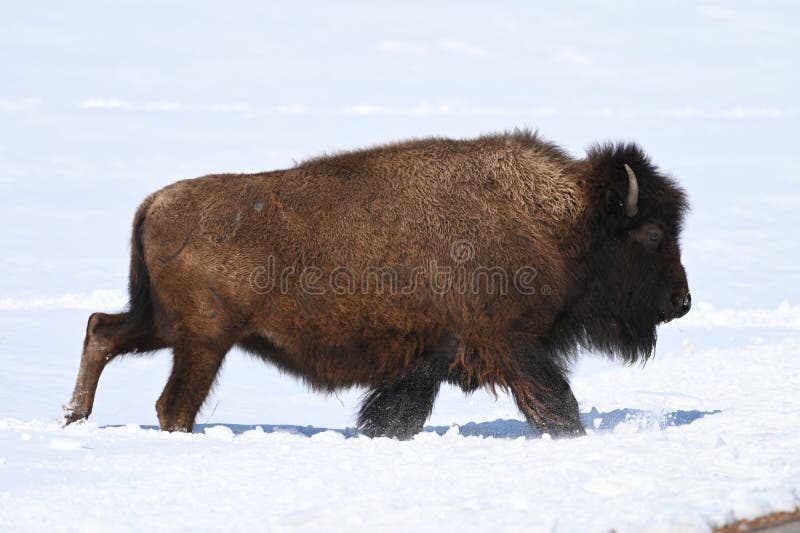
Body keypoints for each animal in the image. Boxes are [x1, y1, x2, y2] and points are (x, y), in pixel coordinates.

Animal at [65, 130, 690, 438]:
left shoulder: (428, 360)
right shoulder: (512, 346)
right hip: (202, 341)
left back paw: (73, 417)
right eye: (654, 232)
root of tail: (154, 203)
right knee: (172, 402)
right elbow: (557, 403)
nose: (683, 302)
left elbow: (397, 415)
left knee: (102, 331)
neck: (558, 218)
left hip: (161, 325)